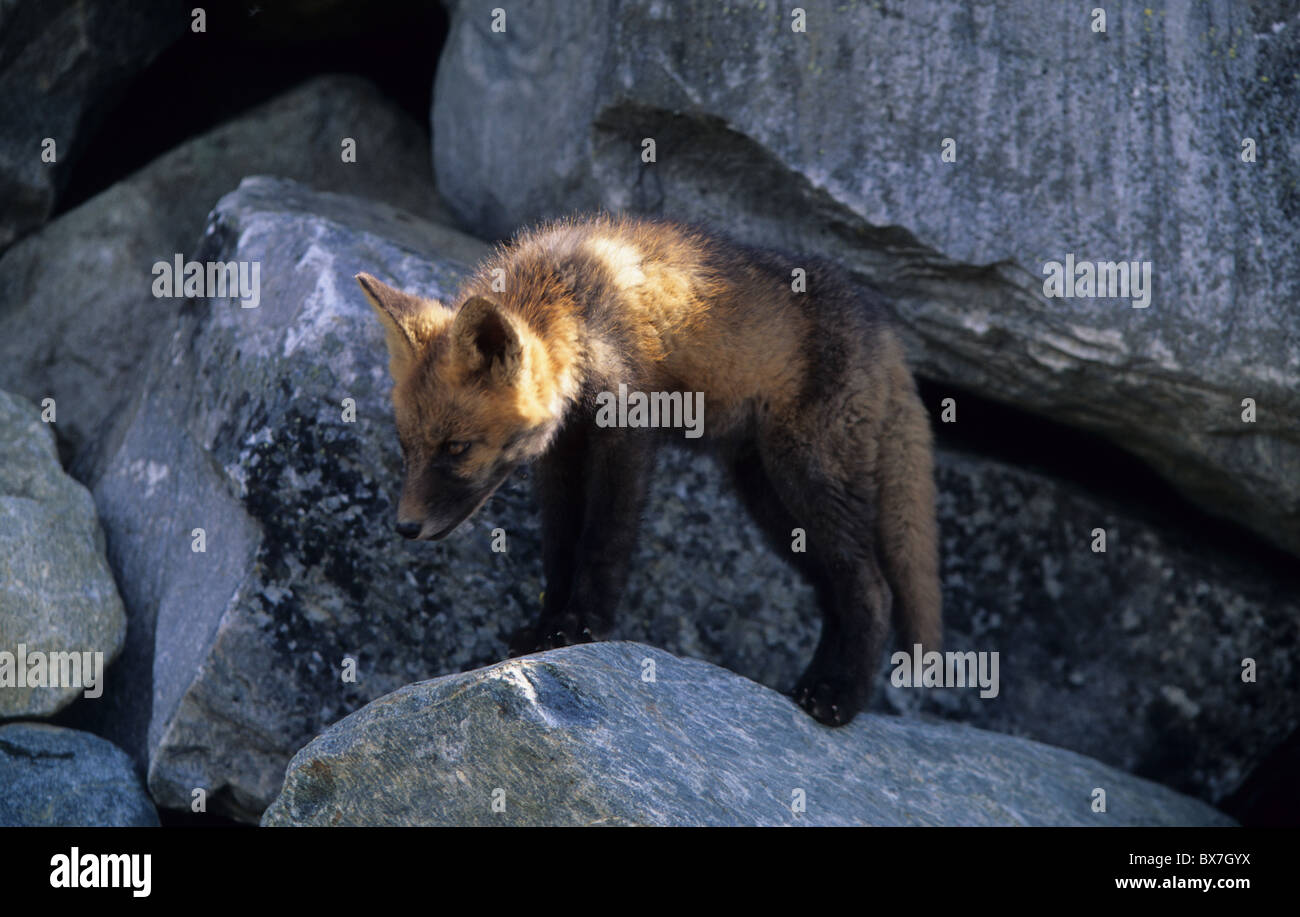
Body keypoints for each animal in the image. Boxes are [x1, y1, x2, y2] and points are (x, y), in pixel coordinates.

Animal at [356, 213, 941, 726]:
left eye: (456, 448)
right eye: (406, 448)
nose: (405, 527)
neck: (574, 305)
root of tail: (885, 325)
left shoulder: (628, 436)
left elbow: (603, 544)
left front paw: (581, 627)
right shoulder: (562, 456)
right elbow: (559, 550)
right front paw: (546, 628)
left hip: (805, 477)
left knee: (874, 588)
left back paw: (838, 695)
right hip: (769, 501)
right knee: (836, 592)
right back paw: (819, 680)